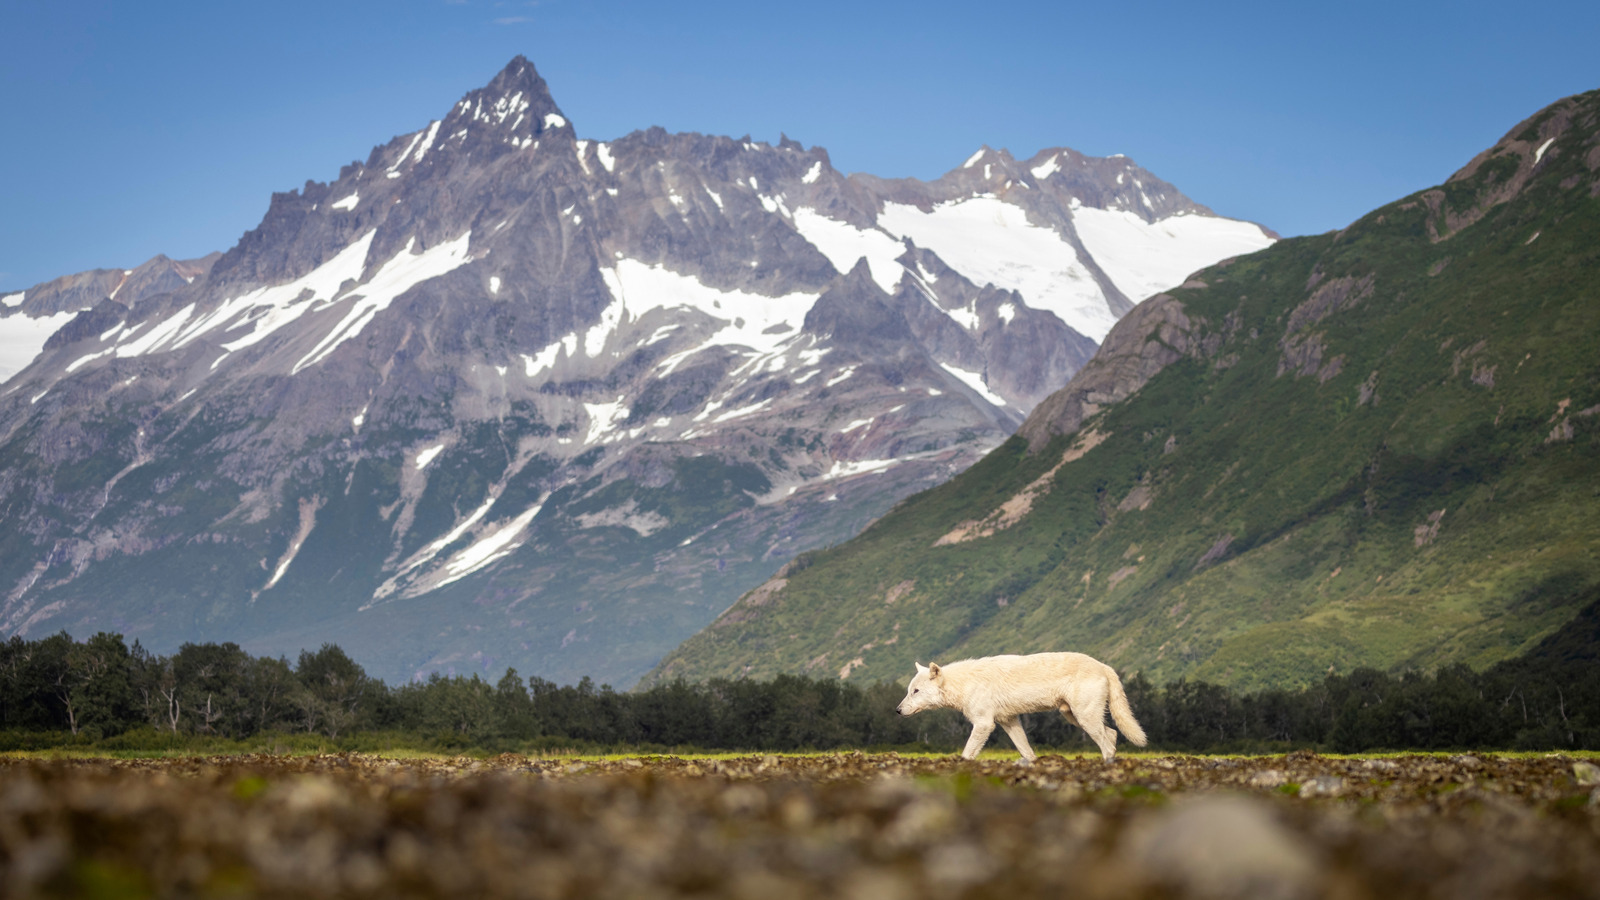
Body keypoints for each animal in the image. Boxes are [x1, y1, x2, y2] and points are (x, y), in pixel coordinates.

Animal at [895, 652, 1148, 763]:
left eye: (915, 691)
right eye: (908, 691)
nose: (897, 710)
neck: (963, 684)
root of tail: (1105, 666)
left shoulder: (984, 724)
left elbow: (967, 753)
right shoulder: (1009, 721)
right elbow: (1026, 750)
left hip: (1084, 717)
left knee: (1107, 743)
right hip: (1073, 716)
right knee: (1112, 734)